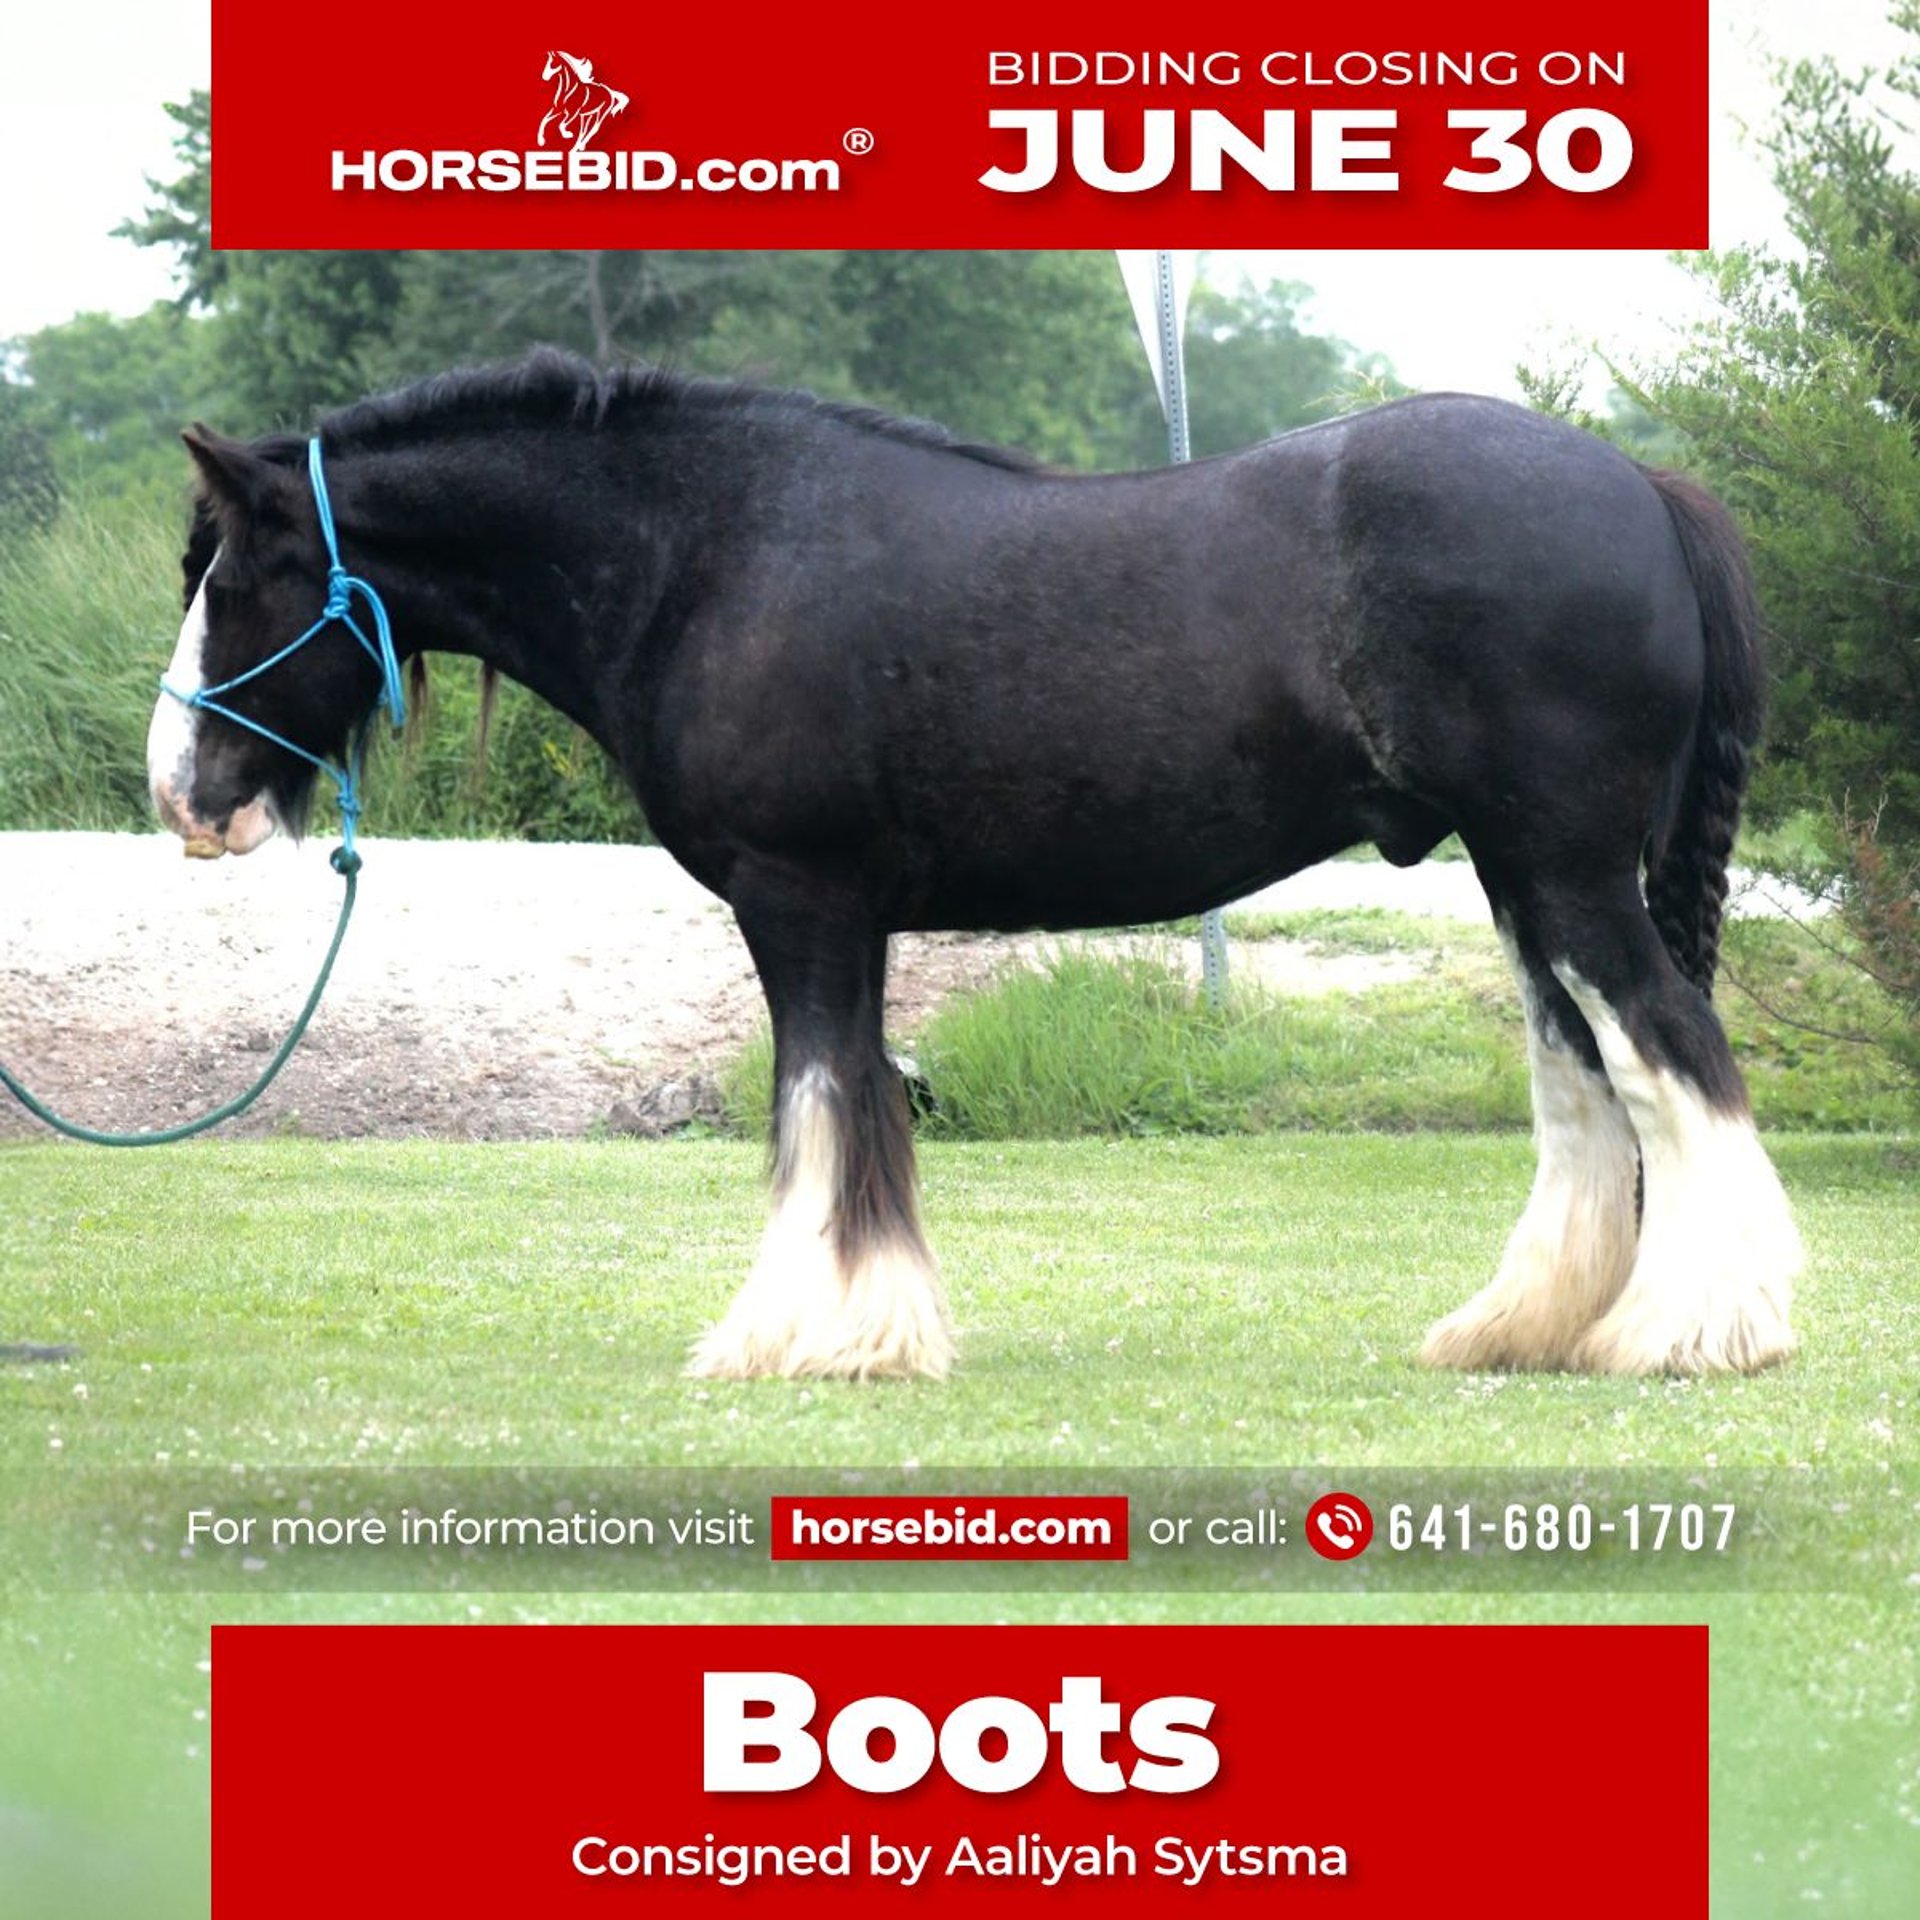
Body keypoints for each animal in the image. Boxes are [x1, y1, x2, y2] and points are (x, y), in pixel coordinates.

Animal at [146, 350, 1803, 1382]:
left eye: (242, 577)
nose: (182, 791)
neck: (704, 555)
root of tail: (1642, 485)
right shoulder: (854, 916)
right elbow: (865, 1109)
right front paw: (869, 1330)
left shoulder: (799, 897)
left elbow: (816, 1106)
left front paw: (792, 1338)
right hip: (1522, 880)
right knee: (1586, 1083)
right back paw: (1527, 1329)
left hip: (1563, 871)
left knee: (1672, 1056)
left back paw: (1695, 1330)